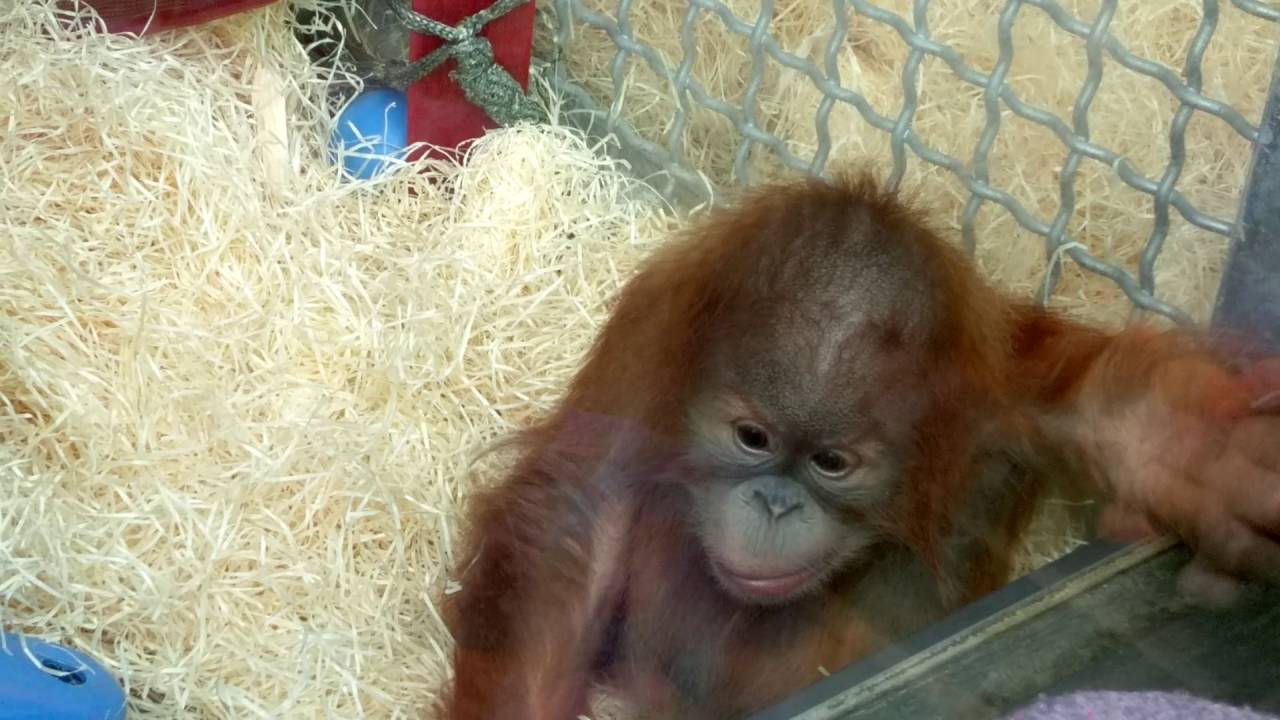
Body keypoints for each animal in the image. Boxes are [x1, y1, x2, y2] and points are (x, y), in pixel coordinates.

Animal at [438, 174, 1280, 720]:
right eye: (753, 438)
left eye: (832, 463)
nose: (775, 504)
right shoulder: (650, 339)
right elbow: (580, 506)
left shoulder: (1002, 396)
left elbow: (1115, 404)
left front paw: (1210, 454)